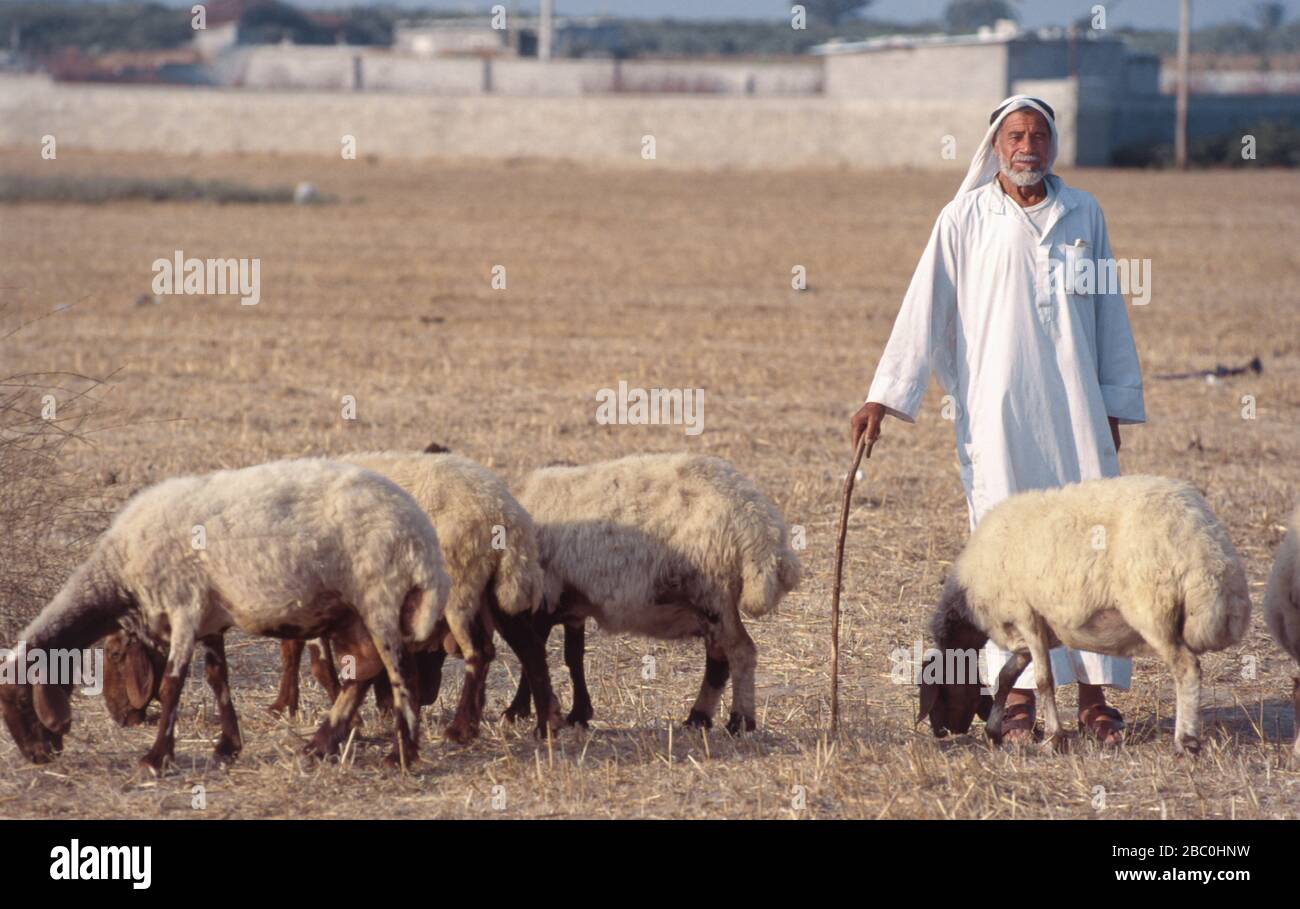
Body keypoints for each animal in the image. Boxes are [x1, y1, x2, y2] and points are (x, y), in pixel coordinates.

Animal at [0, 459, 450, 772]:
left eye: (22, 698)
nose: (37, 756)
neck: (120, 571)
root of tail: (423, 535)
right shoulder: (209, 619)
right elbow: (219, 678)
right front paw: (227, 747)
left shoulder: (183, 607)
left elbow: (173, 684)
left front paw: (155, 758)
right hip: (350, 608)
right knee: (365, 666)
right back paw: (319, 744)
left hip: (381, 597)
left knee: (400, 671)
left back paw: (401, 755)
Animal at [507, 453, 802, 734]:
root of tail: (759, 524)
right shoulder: (571, 605)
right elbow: (573, 656)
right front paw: (579, 713)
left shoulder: (545, 599)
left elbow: (532, 654)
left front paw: (517, 711)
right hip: (711, 598)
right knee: (719, 657)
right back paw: (698, 718)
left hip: (713, 592)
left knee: (740, 651)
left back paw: (739, 721)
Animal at [918, 475, 1251, 755]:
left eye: (940, 688)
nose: (942, 731)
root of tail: (1209, 554)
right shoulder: (1027, 634)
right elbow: (1006, 676)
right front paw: (994, 729)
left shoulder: (1026, 616)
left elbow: (1043, 680)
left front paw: (1053, 739)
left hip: (1153, 612)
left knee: (1186, 668)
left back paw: (1186, 741)